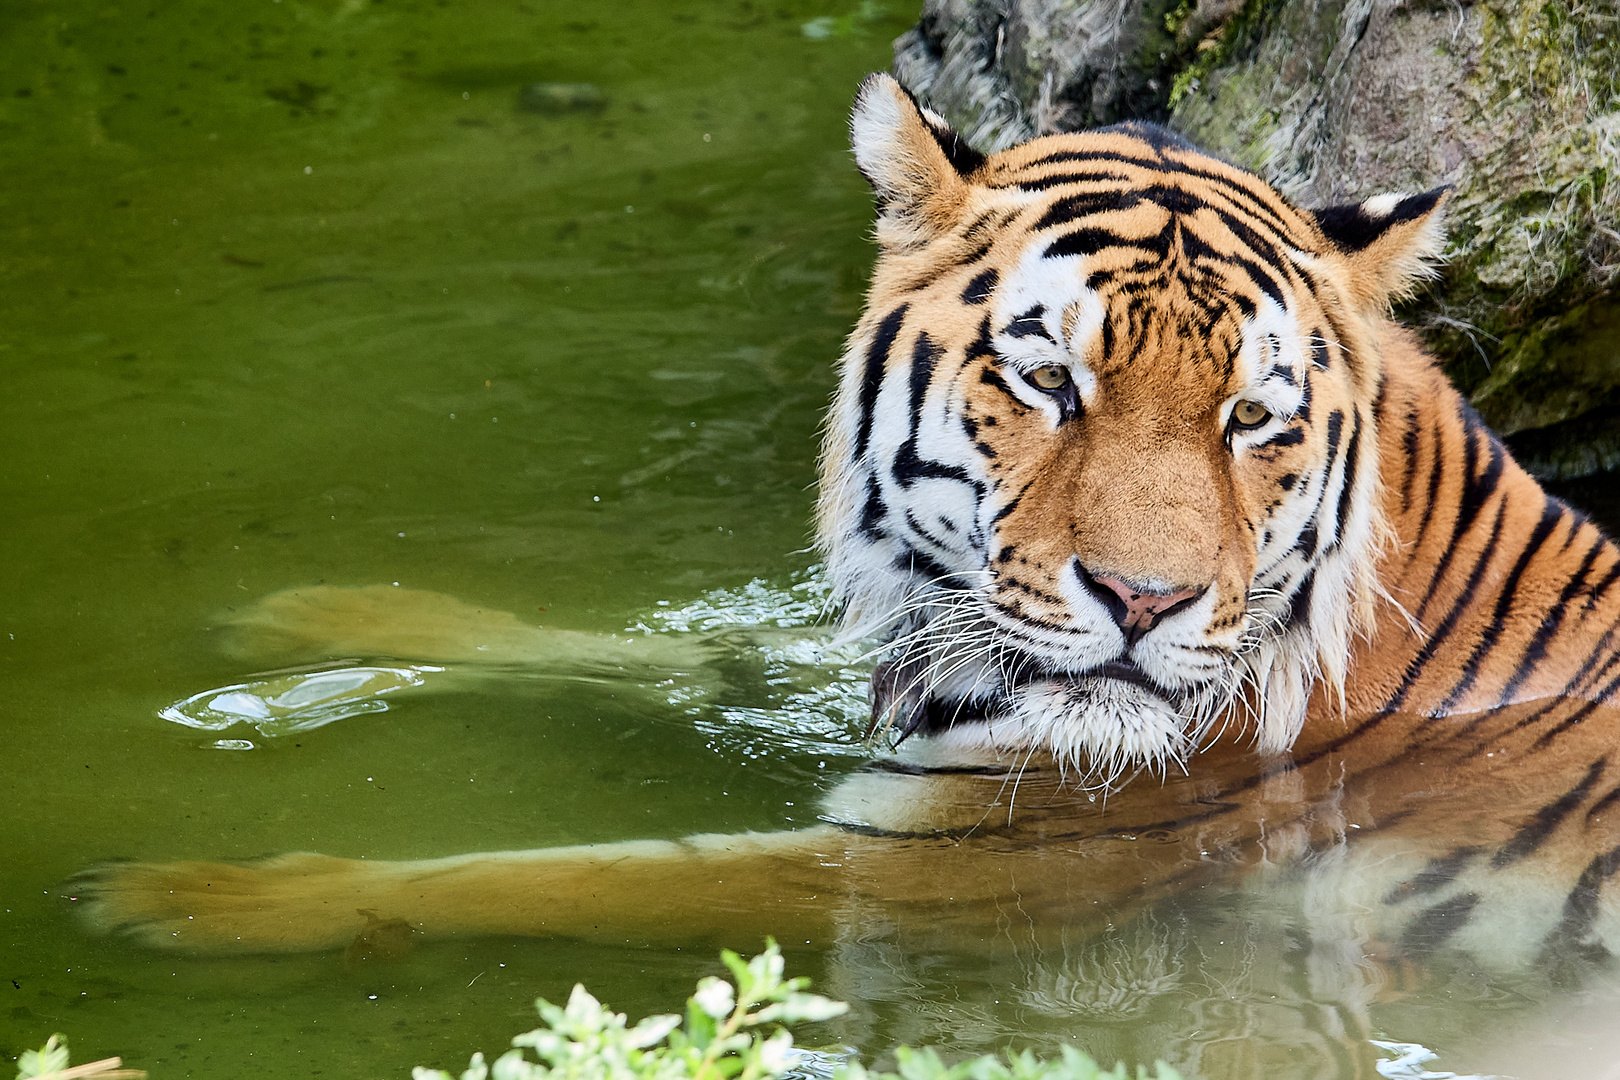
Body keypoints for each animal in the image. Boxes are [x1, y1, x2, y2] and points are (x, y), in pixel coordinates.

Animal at [77, 74, 1620, 1077]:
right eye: (1049, 380)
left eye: (1252, 418)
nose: (1145, 604)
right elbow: (691, 660)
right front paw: (319, 615)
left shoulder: (937, 866)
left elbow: (571, 876)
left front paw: (201, 895)